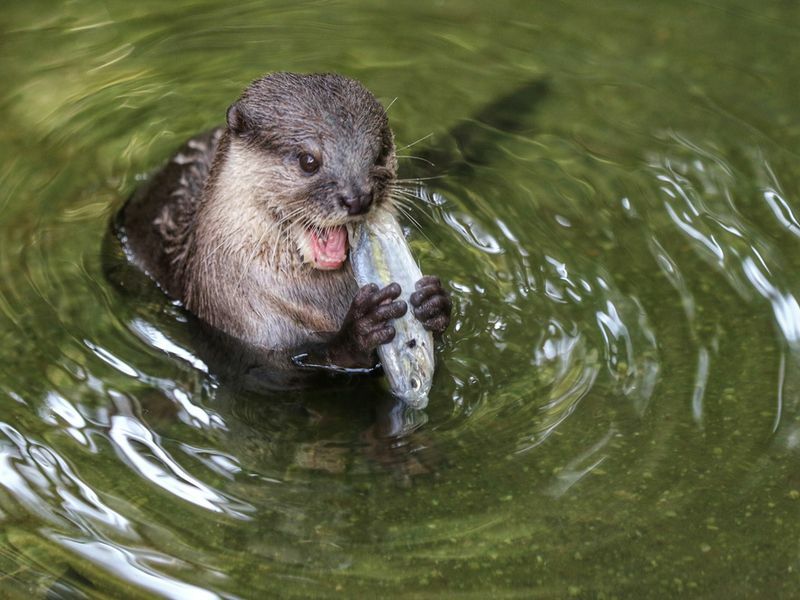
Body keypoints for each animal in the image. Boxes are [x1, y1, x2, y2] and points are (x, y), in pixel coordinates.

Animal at [115, 72, 450, 372]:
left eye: (379, 153)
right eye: (308, 161)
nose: (358, 197)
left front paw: (435, 303)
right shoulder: (249, 330)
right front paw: (360, 329)